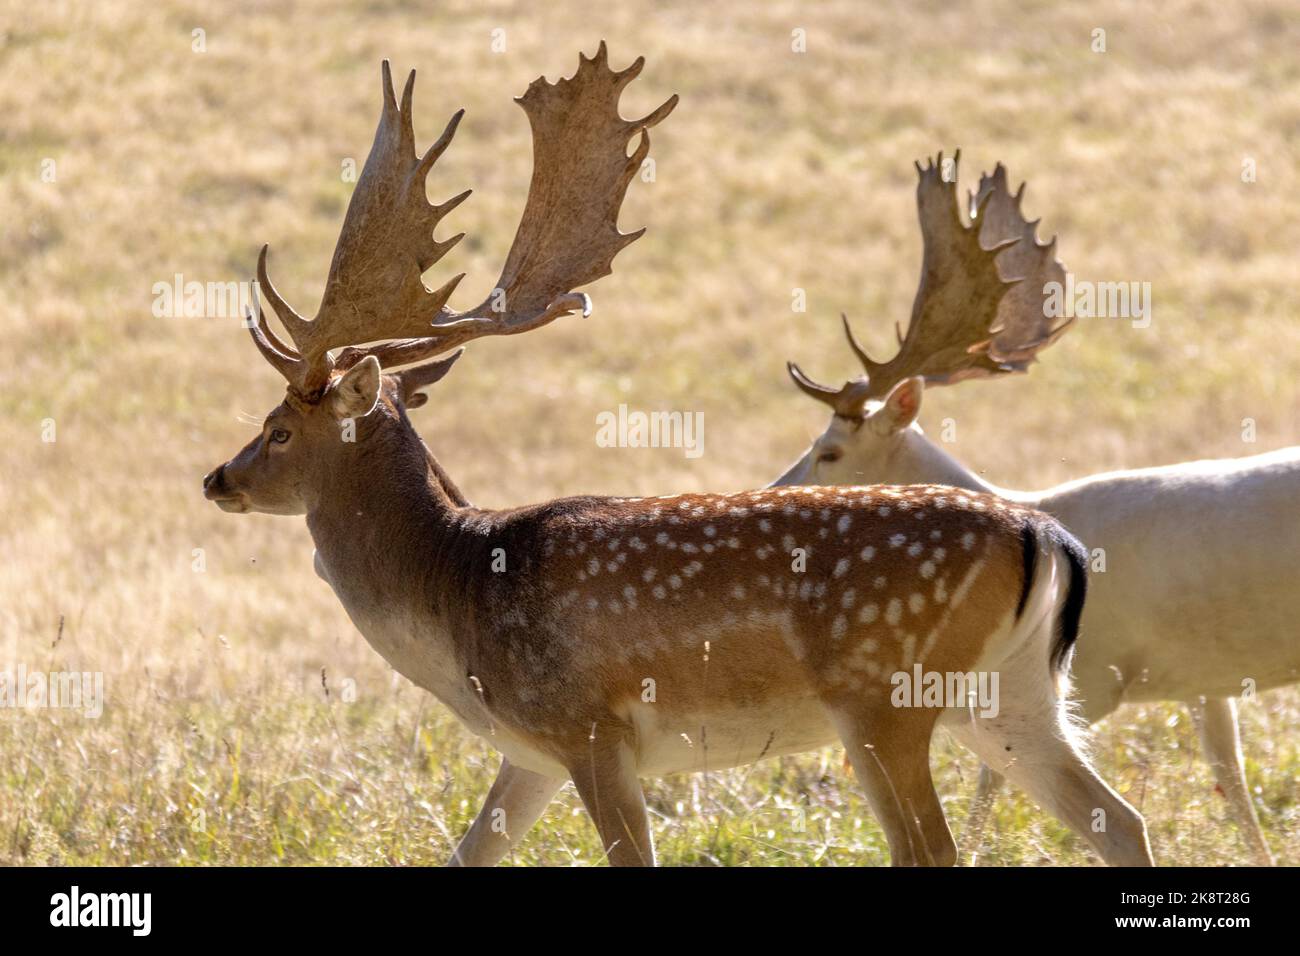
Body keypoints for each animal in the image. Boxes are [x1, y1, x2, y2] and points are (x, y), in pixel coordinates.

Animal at [202, 56, 1153, 867]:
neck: (461, 595)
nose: (217, 479)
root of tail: (1045, 536)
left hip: (885, 695)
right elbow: (468, 852)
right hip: (1012, 699)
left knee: (935, 847)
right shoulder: (529, 753)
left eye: (278, 426)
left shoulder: (590, 729)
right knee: (1119, 819)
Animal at [777, 151, 1292, 866]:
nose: (774, 489)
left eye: (828, 449)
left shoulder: (1093, 673)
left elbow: (997, 778)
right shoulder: (1203, 682)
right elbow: (1230, 777)